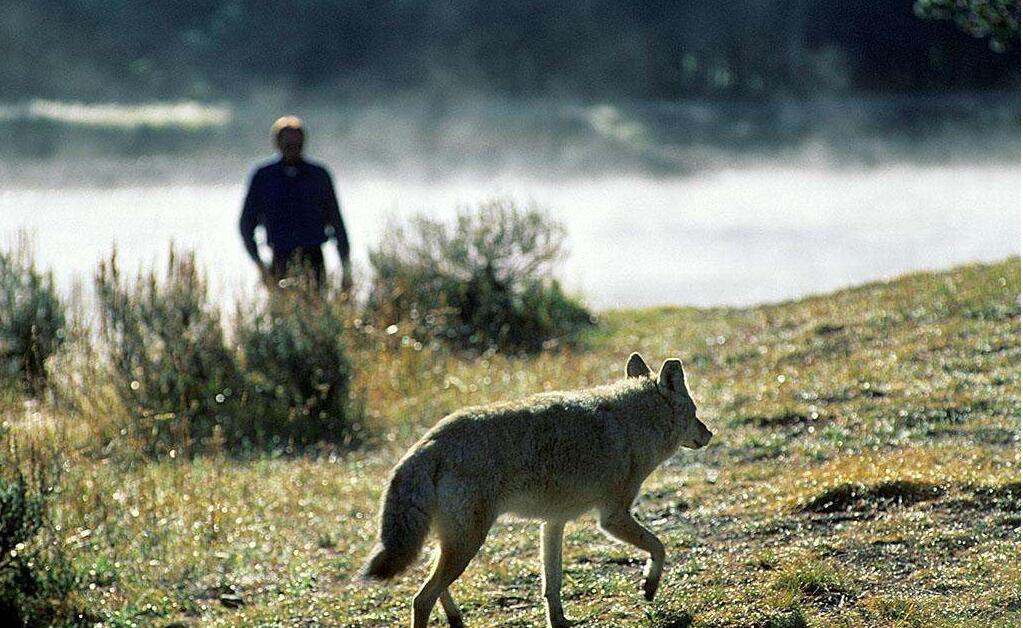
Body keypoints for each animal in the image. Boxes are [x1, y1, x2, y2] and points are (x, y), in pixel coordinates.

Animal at [362, 353, 713, 627]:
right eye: (696, 412)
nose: (710, 433)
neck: (633, 425)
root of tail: (428, 443)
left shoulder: (554, 522)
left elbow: (552, 585)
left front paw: (559, 621)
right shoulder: (612, 518)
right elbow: (660, 547)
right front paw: (648, 586)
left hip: (454, 544)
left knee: (432, 587)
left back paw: (457, 620)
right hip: (468, 544)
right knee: (421, 598)